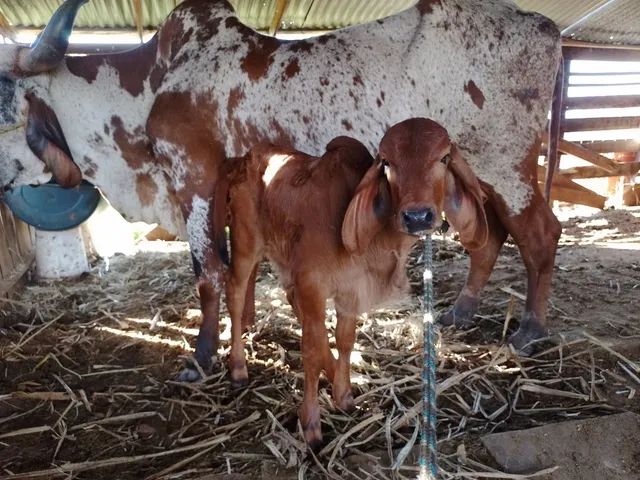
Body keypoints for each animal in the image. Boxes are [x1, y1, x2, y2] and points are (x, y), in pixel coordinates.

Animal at [0, 0, 561, 380]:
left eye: (5, 103)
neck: (151, 85)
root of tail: (544, 25)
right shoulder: (229, 190)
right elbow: (237, 271)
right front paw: (244, 328)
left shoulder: (194, 180)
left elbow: (209, 275)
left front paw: (202, 358)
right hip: (472, 175)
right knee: (489, 238)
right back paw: (460, 313)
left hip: (507, 164)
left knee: (540, 234)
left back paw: (531, 331)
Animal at [224, 118, 488, 447]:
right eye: (386, 162)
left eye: (444, 158)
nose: (417, 217)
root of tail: (250, 155)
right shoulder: (312, 283)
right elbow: (311, 350)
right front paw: (311, 422)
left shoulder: (349, 291)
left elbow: (345, 340)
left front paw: (344, 395)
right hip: (245, 245)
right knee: (235, 295)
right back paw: (237, 367)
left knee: (291, 303)